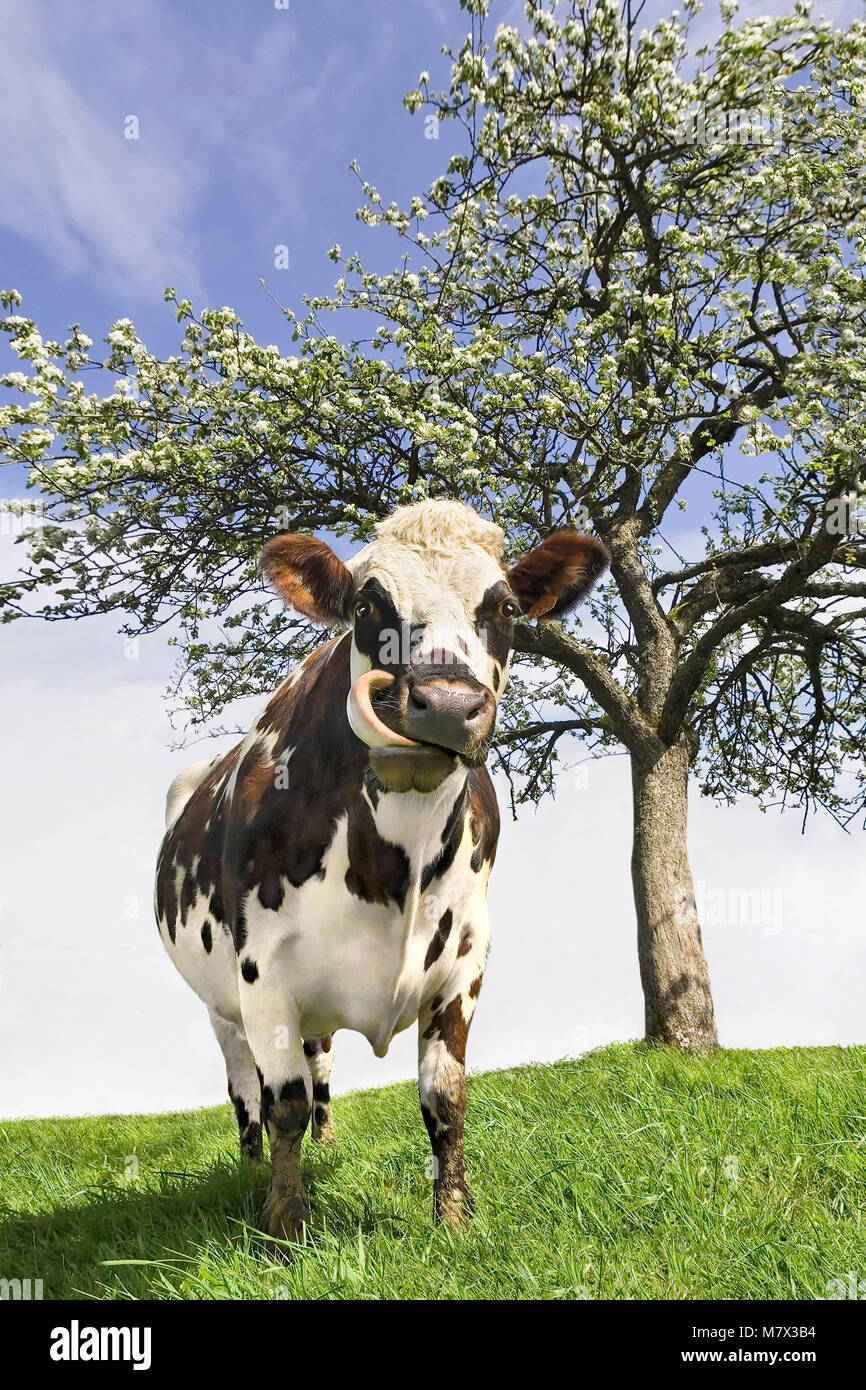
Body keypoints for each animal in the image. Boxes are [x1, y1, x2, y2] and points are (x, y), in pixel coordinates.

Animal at [155, 499, 608, 1245]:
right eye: (367, 605)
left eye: (506, 607)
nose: (447, 704)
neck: (397, 863)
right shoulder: (263, 971)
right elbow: (282, 1102)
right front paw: (285, 1223)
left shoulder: (465, 956)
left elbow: (444, 1096)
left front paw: (454, 1217)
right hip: (220, 1003)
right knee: (246, 1087)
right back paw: (250, 1167)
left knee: (320, 1068)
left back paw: (326, 1143)